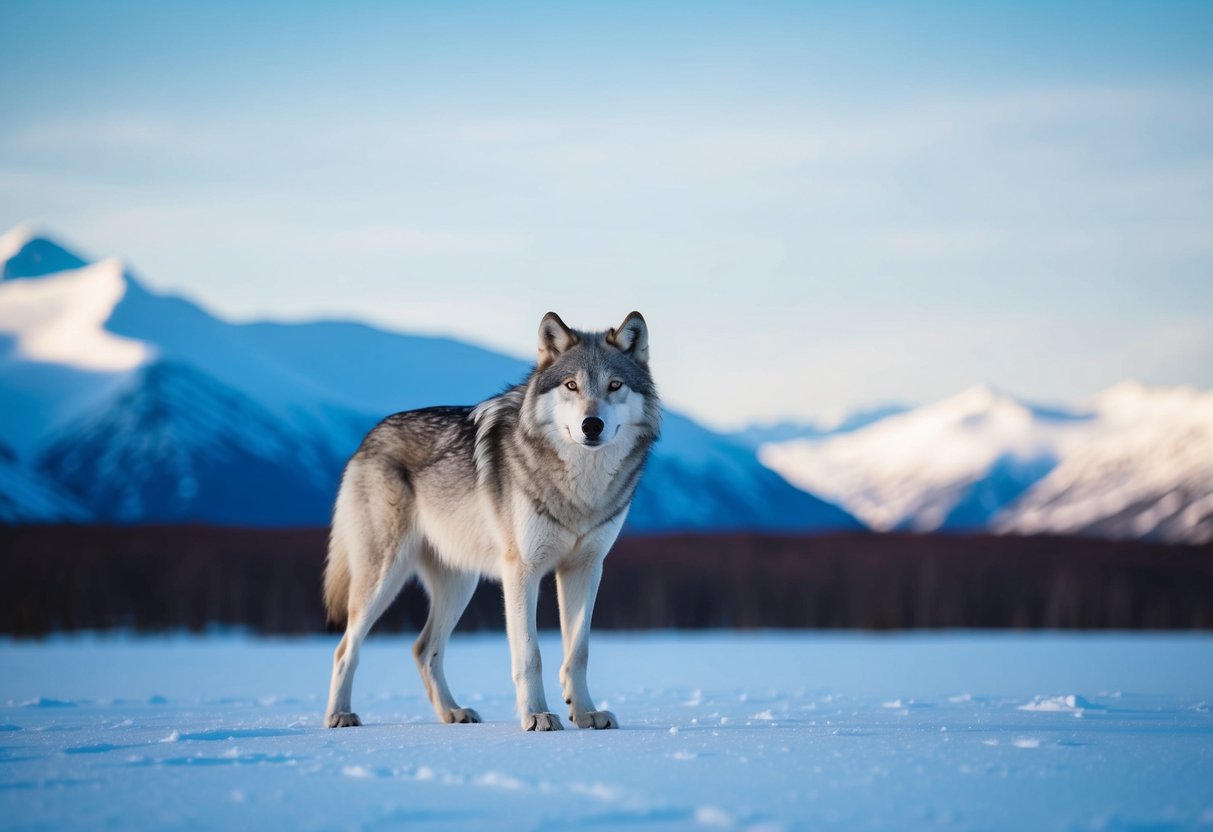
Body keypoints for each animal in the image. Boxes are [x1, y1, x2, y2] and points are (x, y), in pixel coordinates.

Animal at [323, 311, 659, 731]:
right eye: (571, 385)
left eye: (615, 385)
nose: (591, 425)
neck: (580, 487)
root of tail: (367, 438)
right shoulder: (522, 571)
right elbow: (530, 654)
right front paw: (537, 716)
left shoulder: (585, 569)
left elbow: (578, 653)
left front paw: (585, 714)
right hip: (383, 577)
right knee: (344, 648)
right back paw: (339, 714)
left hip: (459, 584)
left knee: (423, 649)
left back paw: (453, 712)